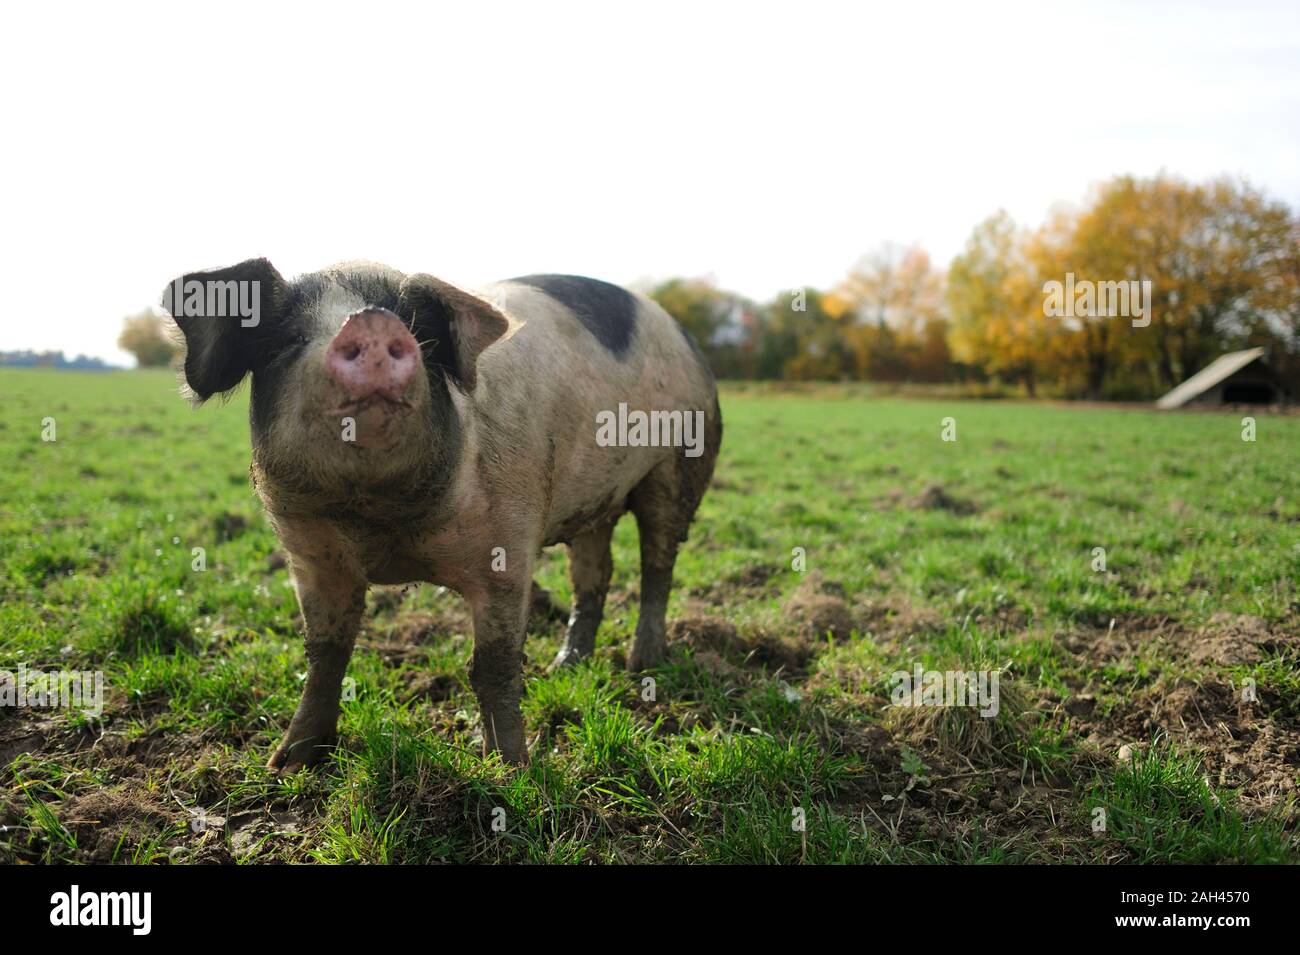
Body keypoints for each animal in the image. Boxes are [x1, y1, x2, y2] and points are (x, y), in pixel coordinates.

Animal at [163, 259, 721, 771]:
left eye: (416, 331)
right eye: (290, 338)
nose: (370, 322)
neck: (378, 519)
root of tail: (682, 332)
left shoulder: (509, 541)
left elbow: (492, 666)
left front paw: (511, 771)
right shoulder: (310, 552)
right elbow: (325, 654)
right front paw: (288, 763)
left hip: (682, 464)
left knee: (657, 564)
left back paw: (644, 660)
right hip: (594, 502)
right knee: (595, 575)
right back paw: (565, 667)